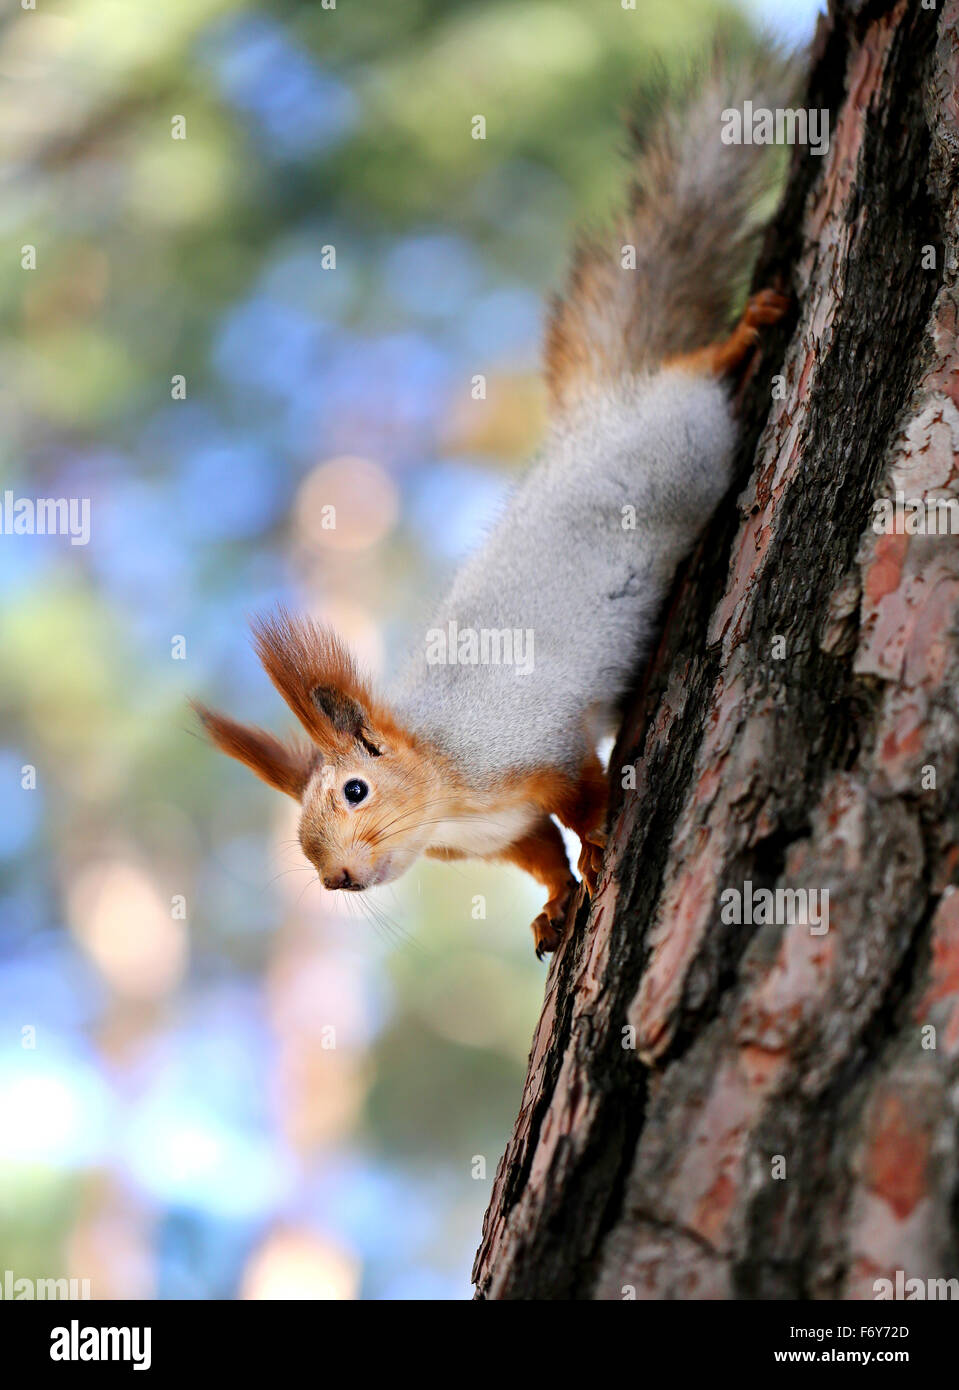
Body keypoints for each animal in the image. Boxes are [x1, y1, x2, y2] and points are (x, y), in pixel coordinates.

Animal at [195, 48, 795, 960]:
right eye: (299, 832)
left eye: (356, 791)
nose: (335, 879)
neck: (446, 789)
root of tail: (595, 416)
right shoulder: (502, 831)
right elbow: (540, 853)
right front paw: (553, 903)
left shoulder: (532, 741)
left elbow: (581, 796)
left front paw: (604, 838)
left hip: (681, 444)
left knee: (691, 378)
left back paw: (742, 334)